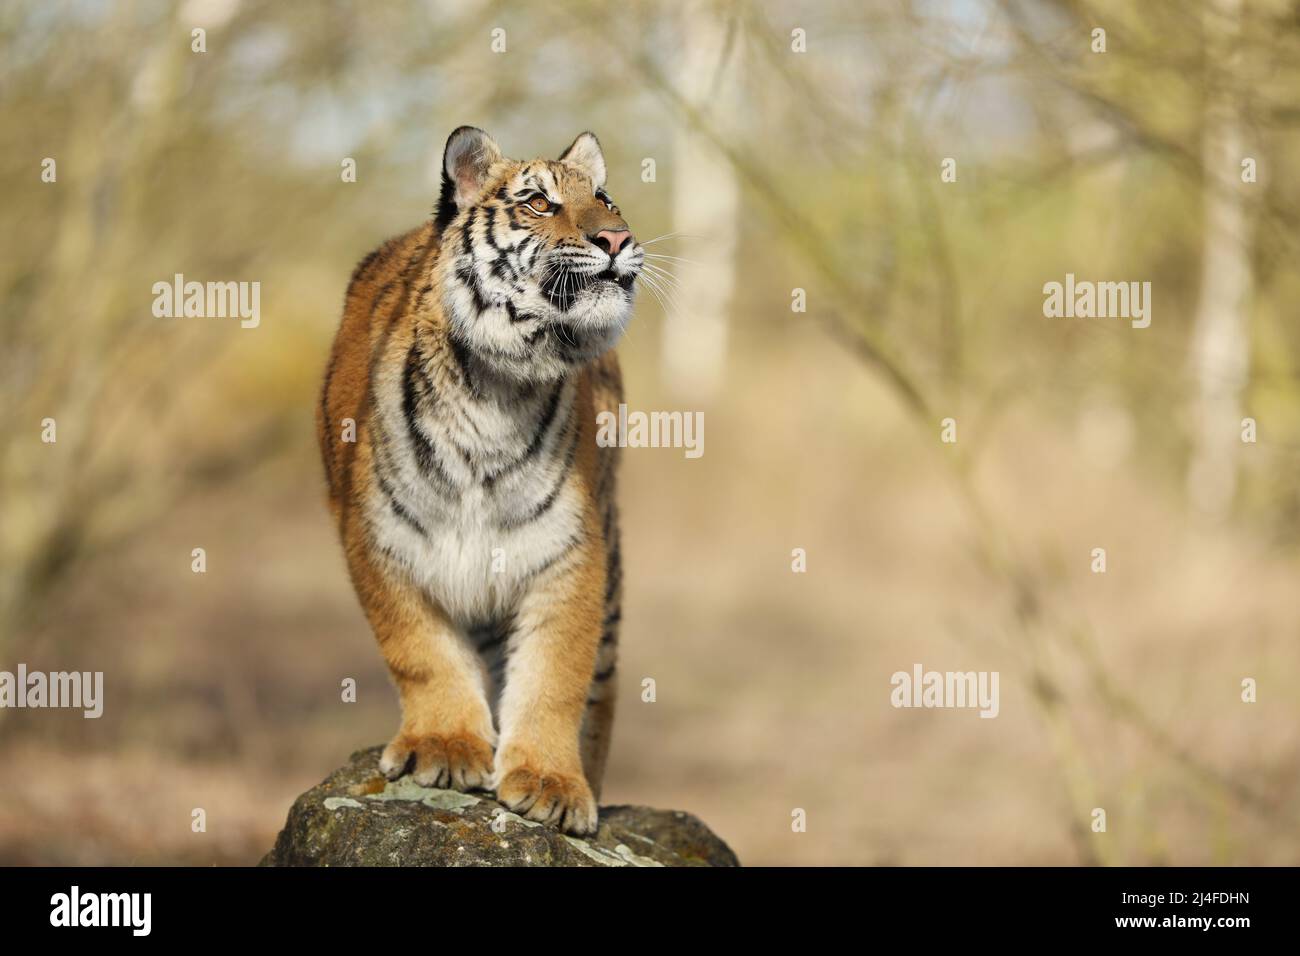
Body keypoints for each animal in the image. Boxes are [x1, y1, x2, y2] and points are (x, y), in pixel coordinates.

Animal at [316, 127, 639, 835]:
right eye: (539, 202)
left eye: (605, 200)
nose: (617, 238)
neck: (498, 387)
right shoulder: (380, 543)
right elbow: (422, 653)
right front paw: (443, 748)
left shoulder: (570, 554)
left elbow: (555, 677)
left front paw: (550, 782)